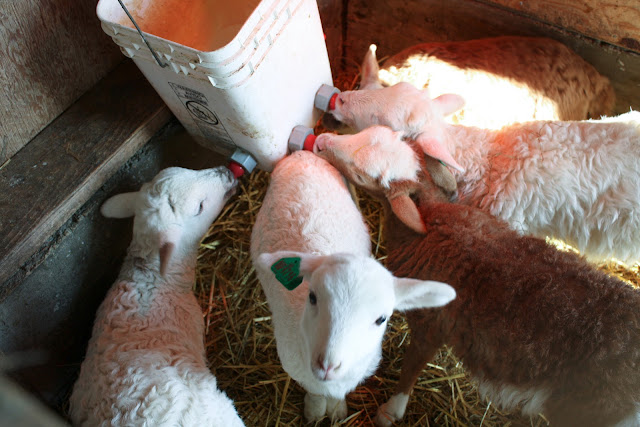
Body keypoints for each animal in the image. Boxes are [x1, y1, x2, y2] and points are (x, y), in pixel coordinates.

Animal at [249, 150, 455, 422]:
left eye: (381, 319)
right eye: (312, 298)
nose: (327, 365)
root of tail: (302, 155)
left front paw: (336, 409)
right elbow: (314, 392)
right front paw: (316, 410)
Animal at [314, 125, 640, 427]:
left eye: (364, 175)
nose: (321, 140)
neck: (432, 218)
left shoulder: (431, 323)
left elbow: (412, 365)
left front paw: (389, 412)